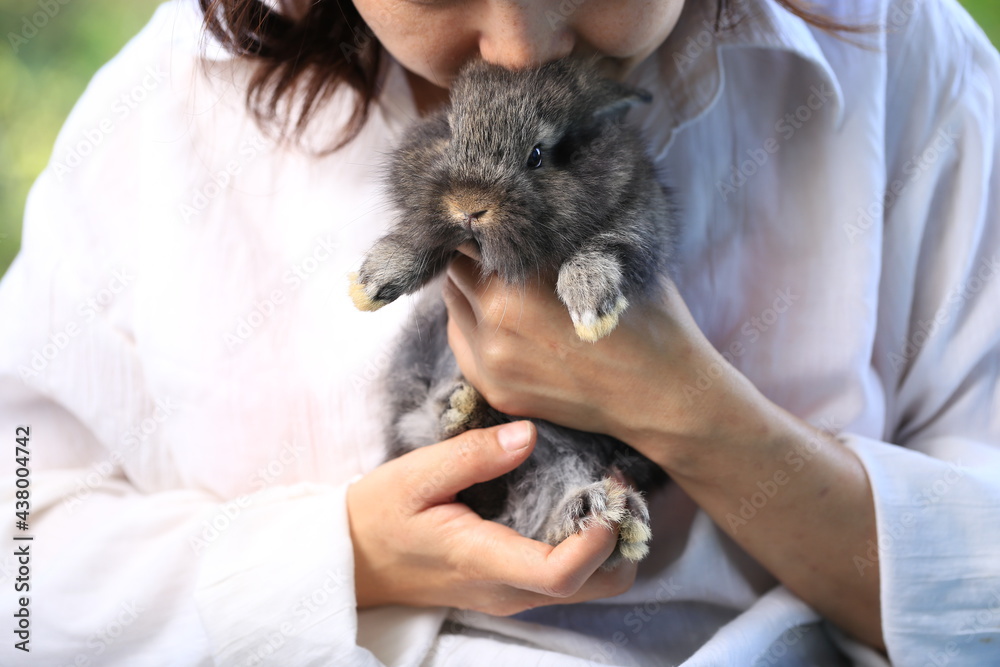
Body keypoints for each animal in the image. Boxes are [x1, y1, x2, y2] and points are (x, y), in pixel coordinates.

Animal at [349, 57, 677, 569]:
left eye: (538, 156)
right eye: (450, 131)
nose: (468, 206)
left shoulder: (639, 216)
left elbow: (606, 246)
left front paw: (589, 310)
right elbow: (424, 239)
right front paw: (374, 282)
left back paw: (608, 513)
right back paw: (463, 414)